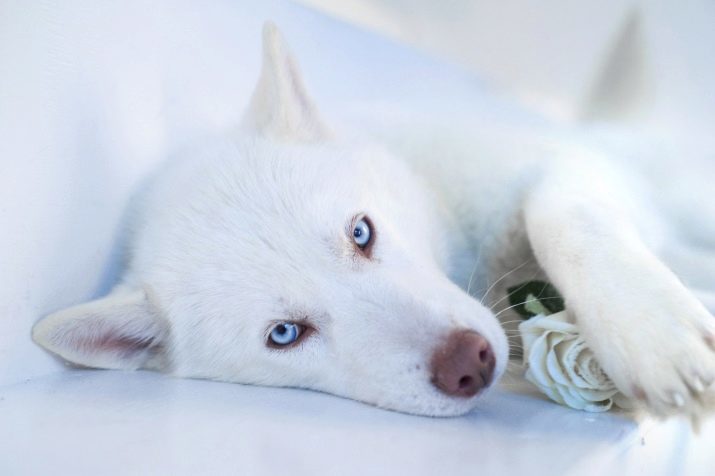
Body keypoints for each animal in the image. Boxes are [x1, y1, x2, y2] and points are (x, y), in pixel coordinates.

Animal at [30, 24, 712, 418]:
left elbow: (562, 217)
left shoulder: (572, 169)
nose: (469, 363)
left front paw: (649, 331)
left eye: (361, 233)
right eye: (285, 334)